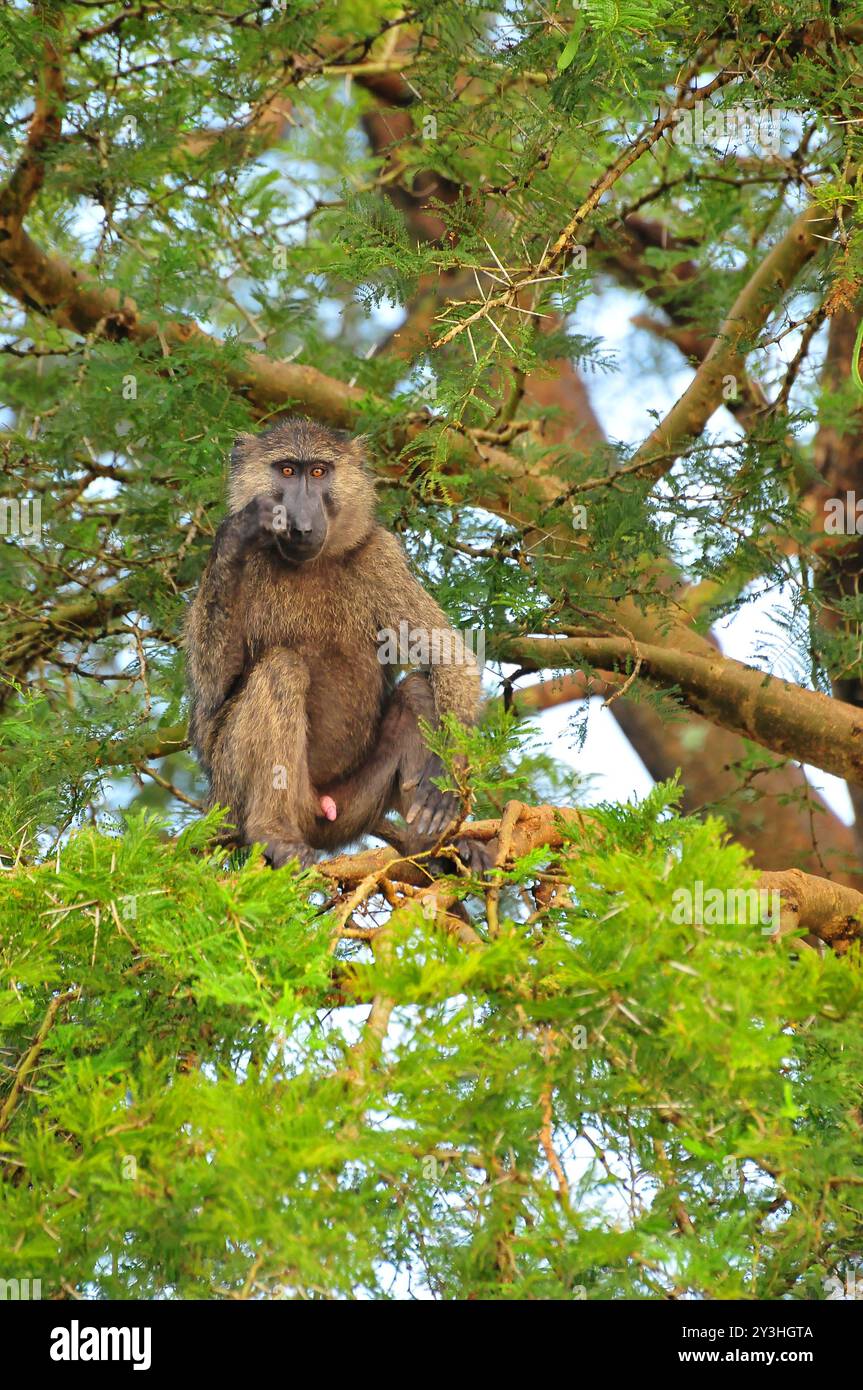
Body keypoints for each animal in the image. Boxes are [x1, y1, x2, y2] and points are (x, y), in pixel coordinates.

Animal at [185, 417, 489, 873]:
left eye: (318, 472)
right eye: (287, 471)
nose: (302, 520)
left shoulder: (381, 555)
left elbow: (449, 657)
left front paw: (444, 785)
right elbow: (211, 700)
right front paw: (240, 530)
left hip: (353, 804)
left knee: (420, 690)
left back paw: (433, 847)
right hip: (236, 792)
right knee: (281, 669)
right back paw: (274, 835)